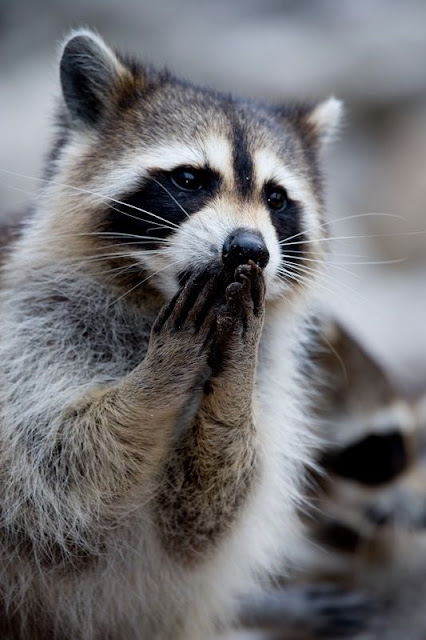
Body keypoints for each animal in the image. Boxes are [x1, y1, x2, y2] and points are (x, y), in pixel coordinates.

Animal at [0, 29, 342, 639]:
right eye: (188, 179)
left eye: (276, 198)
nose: (249, 249)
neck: (155, 300)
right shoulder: (26, 333)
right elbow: (57, 472)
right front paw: (158, 379)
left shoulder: (274, 384)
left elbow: (204, 516)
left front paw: (229, 391)